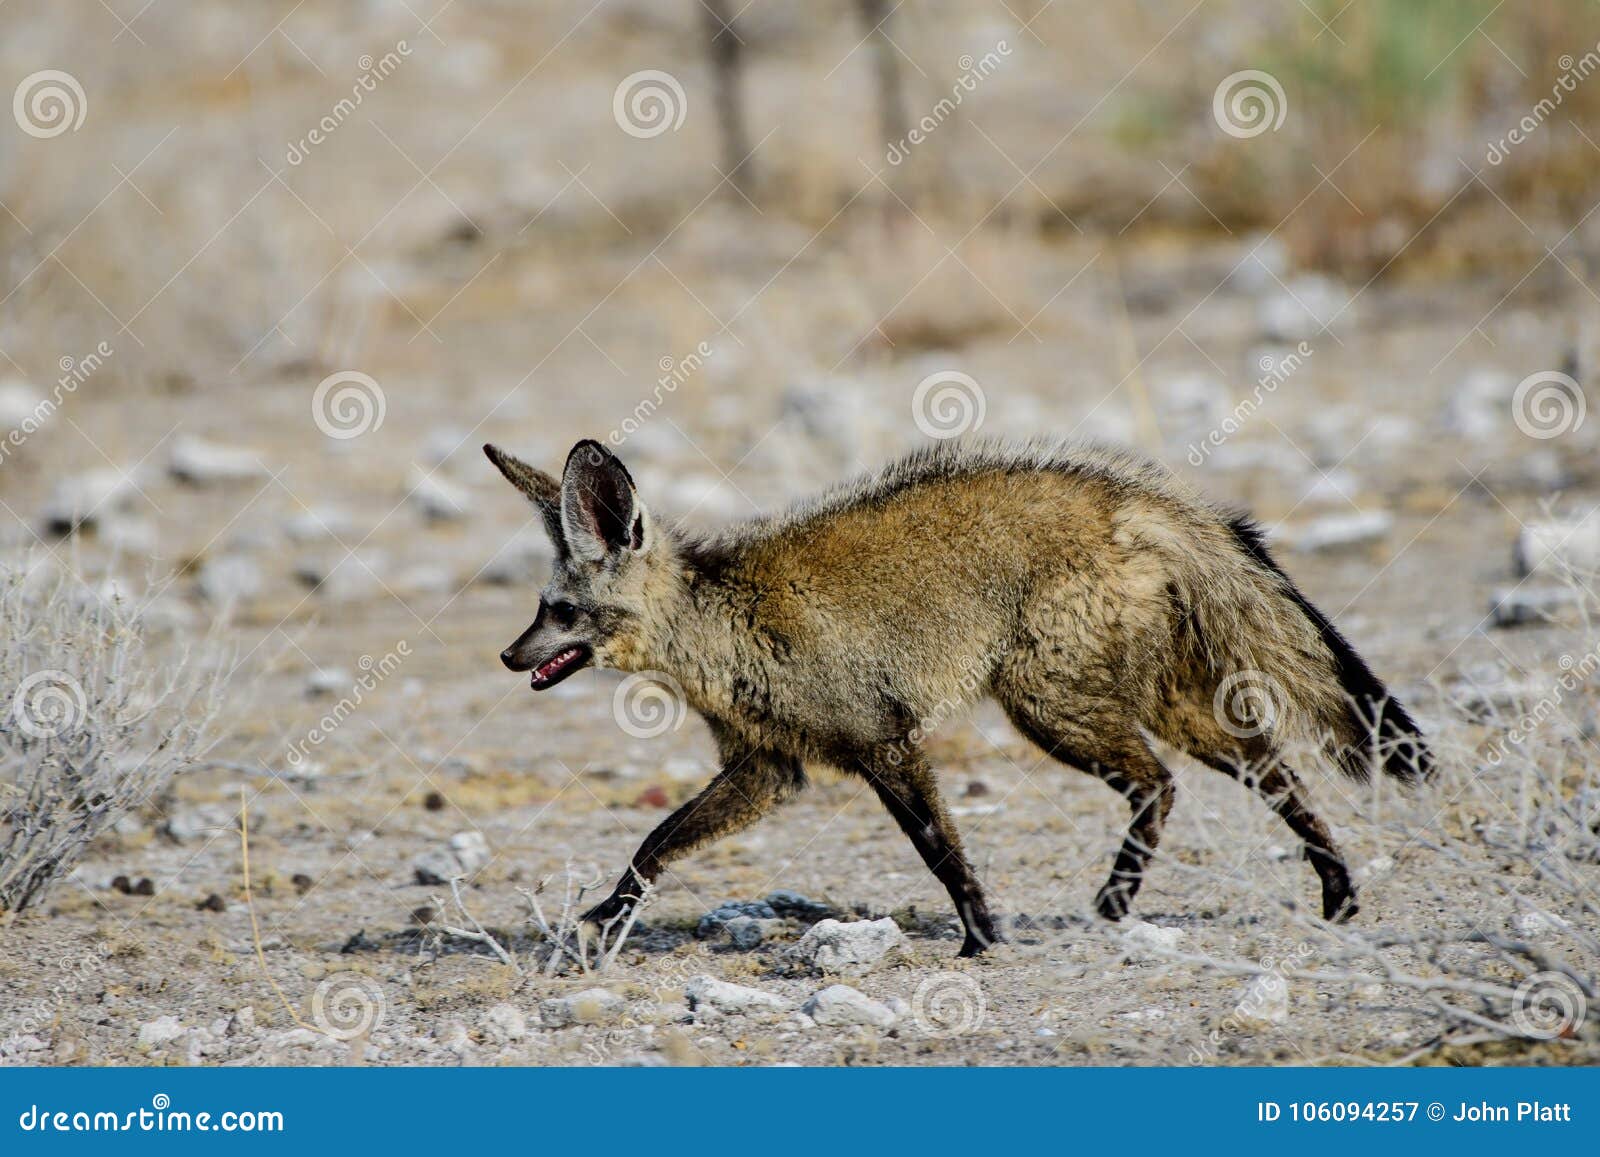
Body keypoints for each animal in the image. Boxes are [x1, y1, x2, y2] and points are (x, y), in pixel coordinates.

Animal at [483, 436, 1432, 957]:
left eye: (559, 611)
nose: (506, 654)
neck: (722, 622)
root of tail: (1139, 500)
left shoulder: (882, 741)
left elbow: (941, 848)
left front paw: (980, 935)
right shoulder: (770, 770)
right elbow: (655, 841)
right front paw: (608, 913)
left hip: (1049, 705)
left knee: (1161, 782)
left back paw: (1120, 900)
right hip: (1148, 701)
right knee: (1266, 767)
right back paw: (1335, 888)